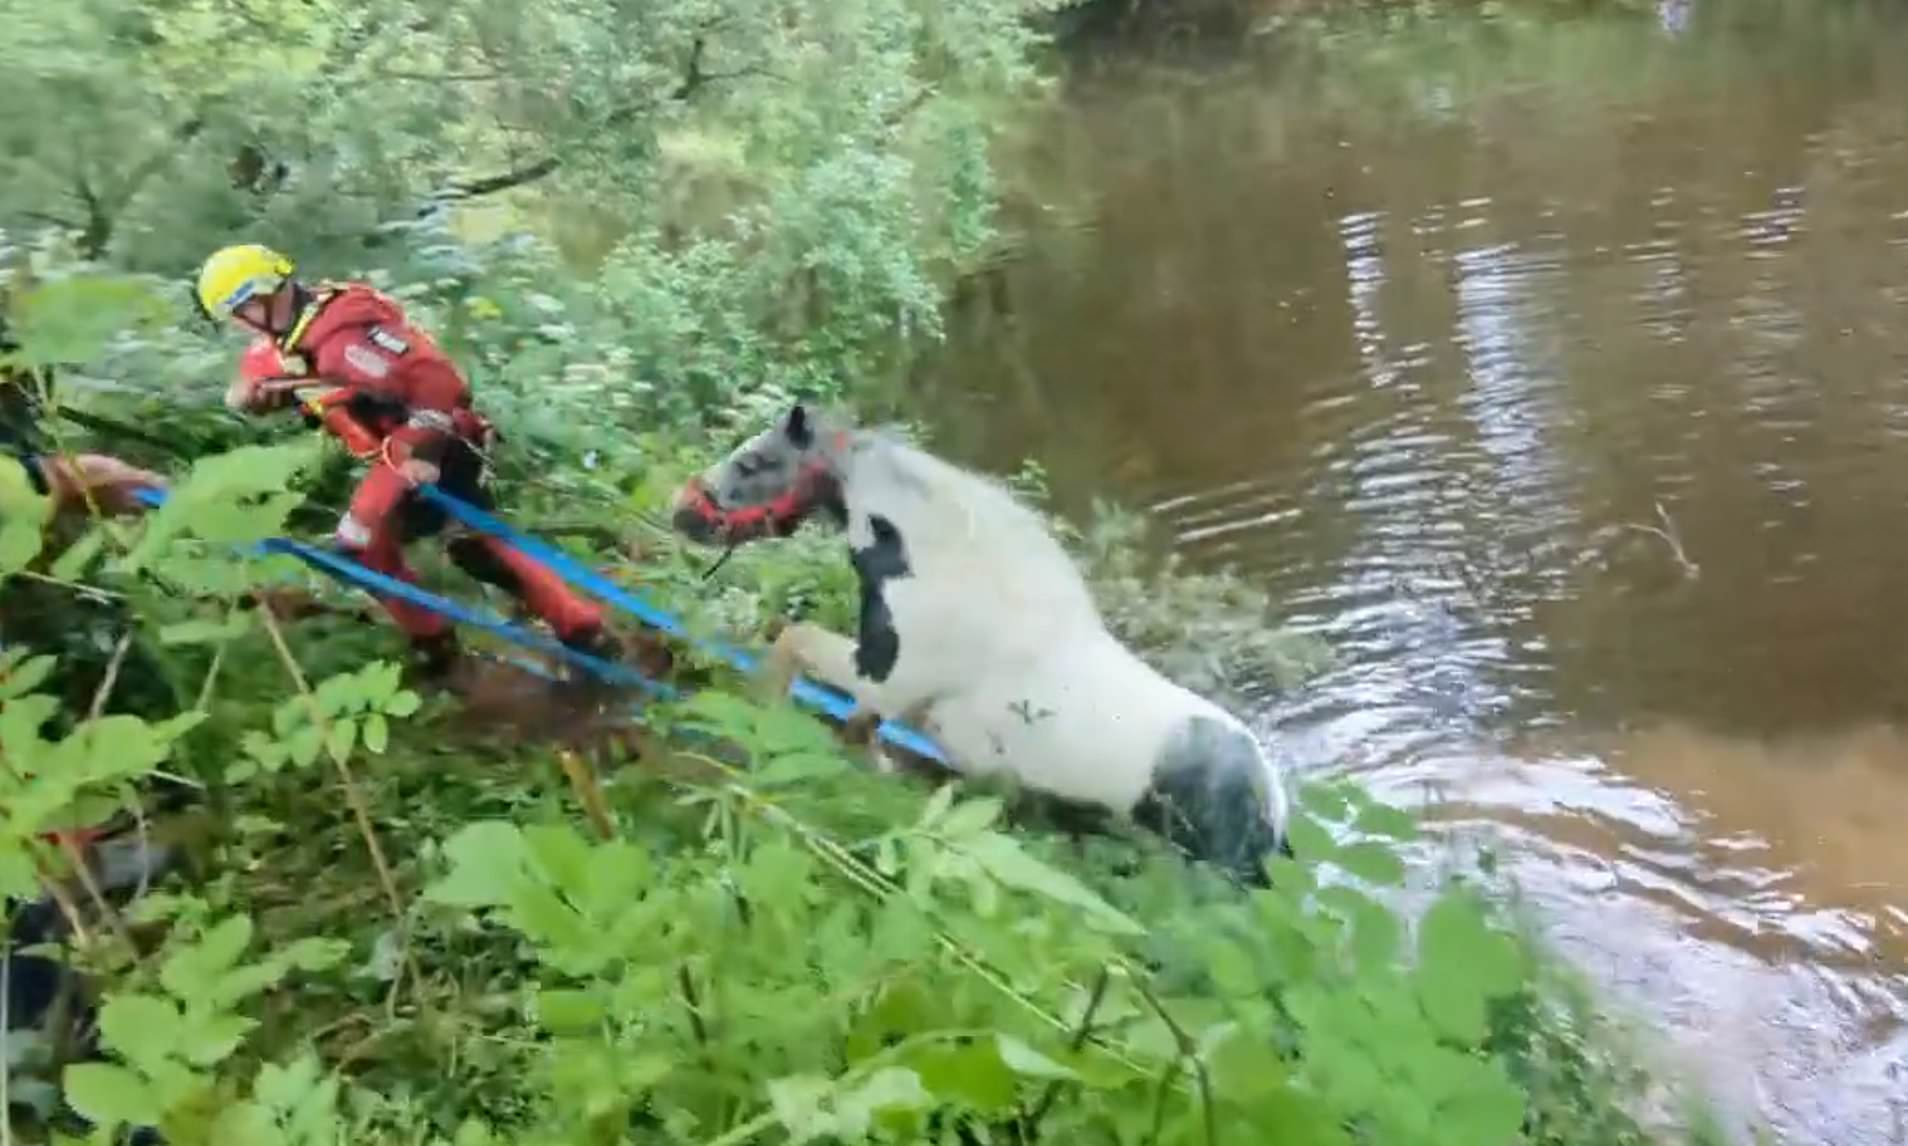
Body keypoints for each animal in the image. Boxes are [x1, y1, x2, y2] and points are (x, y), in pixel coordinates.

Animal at [669, 403, 1292, 885]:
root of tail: (1275, 807)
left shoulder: (882, 678)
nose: (682, 513)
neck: (945, 569)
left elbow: (793, 645)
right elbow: (858, 730)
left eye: (754, 462)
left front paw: (757, 719)